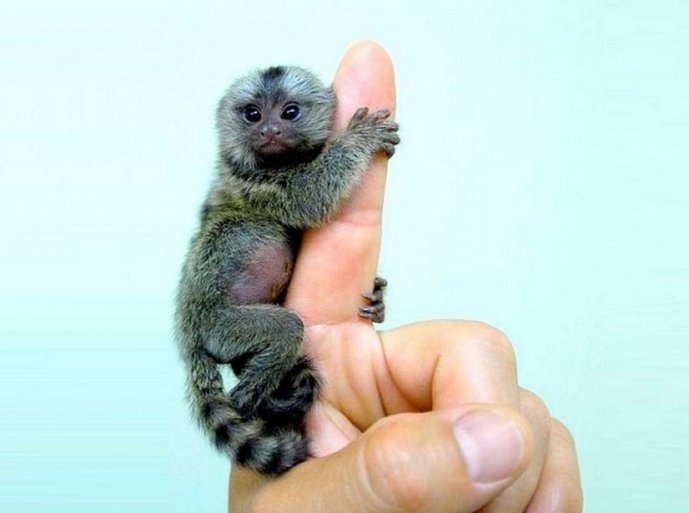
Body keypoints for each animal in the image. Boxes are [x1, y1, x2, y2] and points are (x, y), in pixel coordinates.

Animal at [175, 65, 399, 475]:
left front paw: (378, 298)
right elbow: (310, 196)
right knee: (285, 329)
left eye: (289, 112)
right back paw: (254, 393)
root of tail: (188, 339)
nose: (269, 131)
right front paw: (357, 138)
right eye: (253, 115)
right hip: (220, 328)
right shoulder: (257, 184)